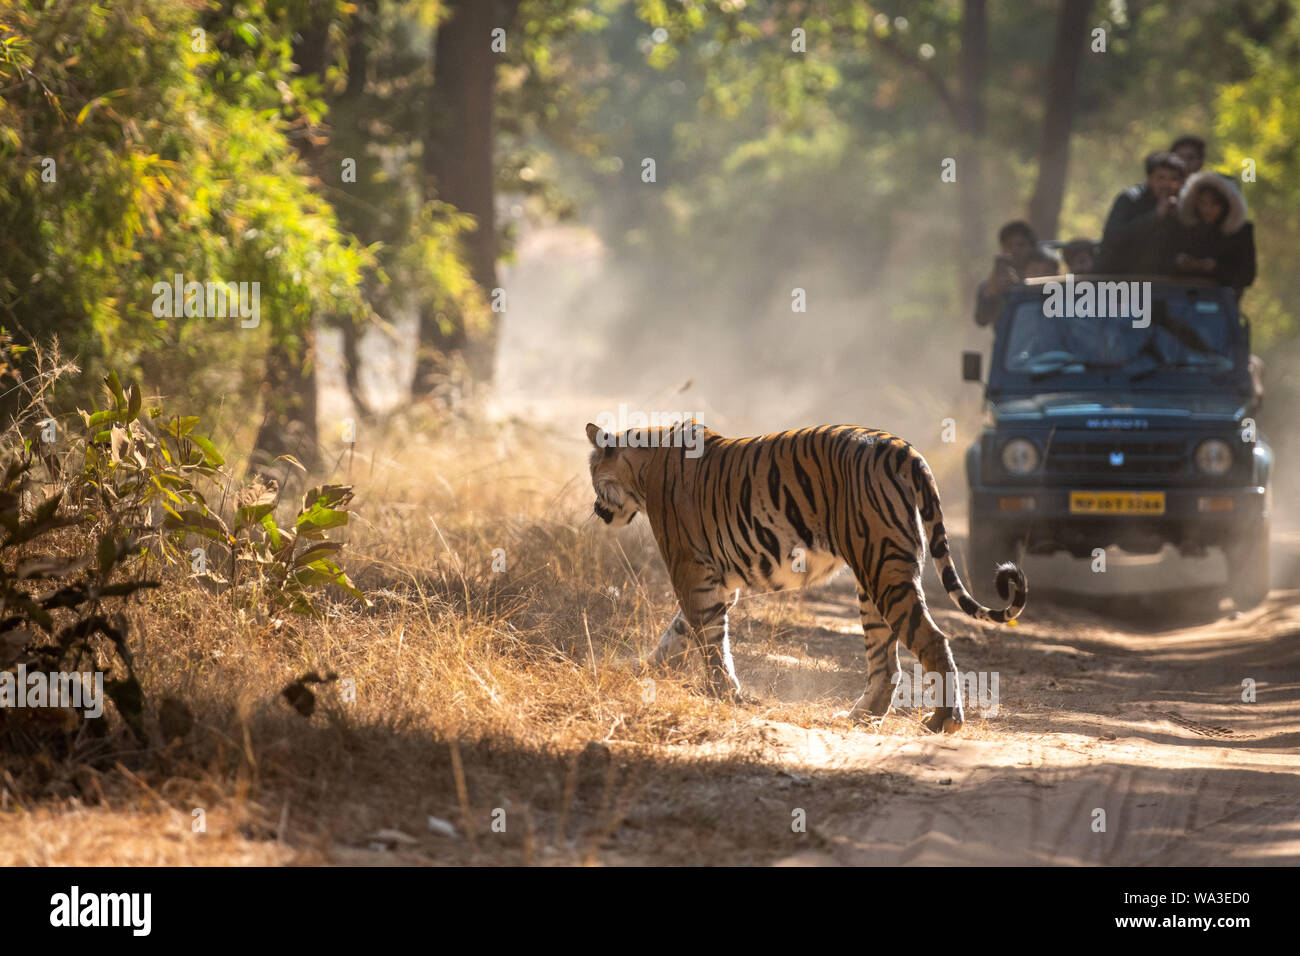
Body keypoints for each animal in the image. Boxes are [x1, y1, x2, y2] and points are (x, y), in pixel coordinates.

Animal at [586, 420, 1026, 734]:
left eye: (592, 474)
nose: (595, 508)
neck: (642, 469)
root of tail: (902, 448)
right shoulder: (716, 583)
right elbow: (679, 633)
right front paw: (642, 670)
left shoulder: (691, 573)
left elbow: (709, 641)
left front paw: (723, 693)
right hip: (875, 578)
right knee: (886, 662)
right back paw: (860, 717)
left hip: (883, 570)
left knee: (932, 640)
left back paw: (942, 721)